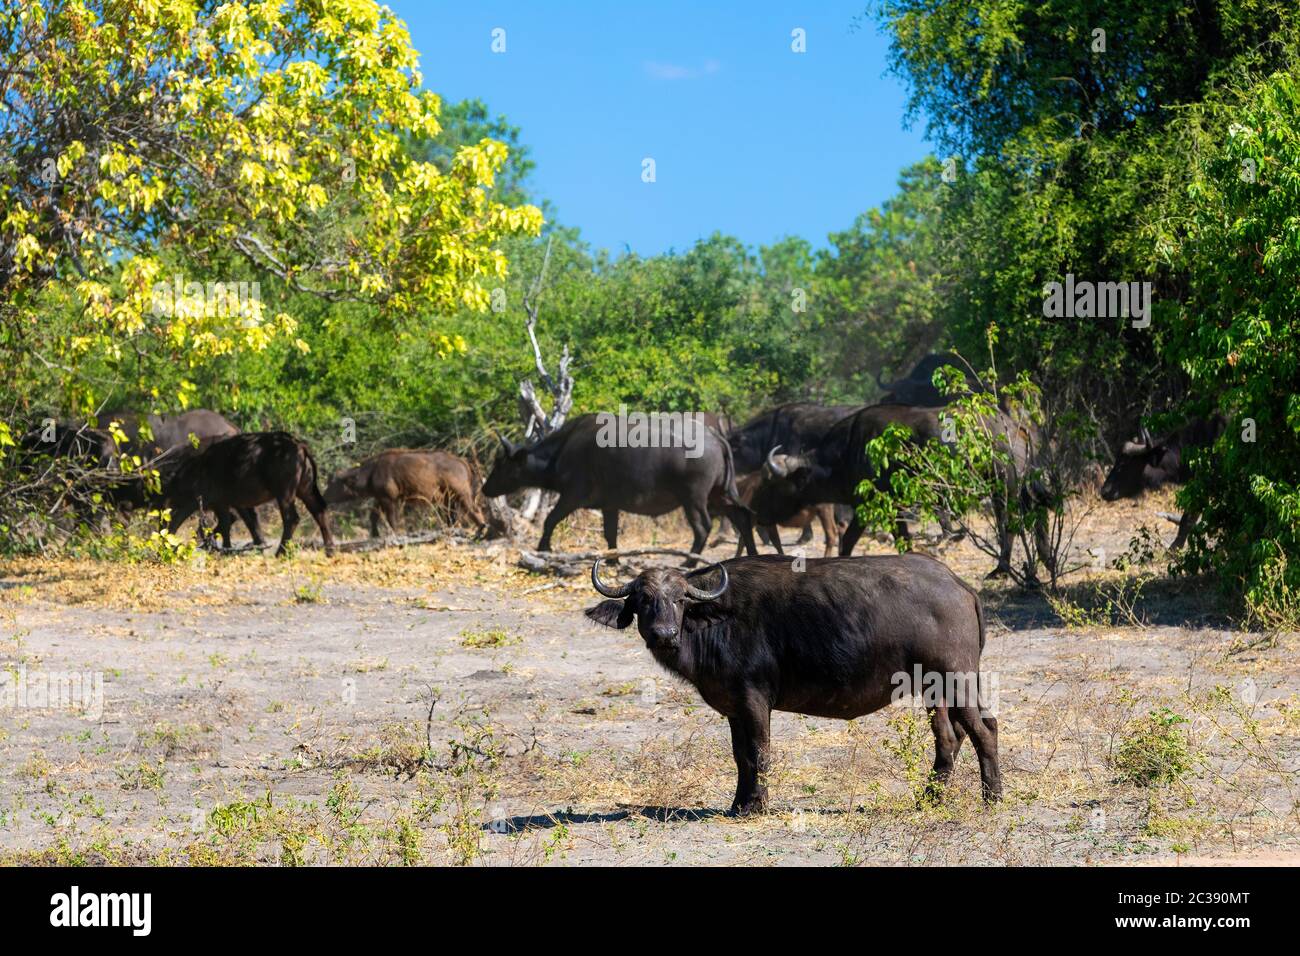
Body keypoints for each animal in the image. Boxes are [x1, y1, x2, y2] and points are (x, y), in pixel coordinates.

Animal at [164, 432, 335, 556]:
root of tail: (300, 447)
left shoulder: (209, 501)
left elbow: (222, 524)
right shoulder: (236, 503)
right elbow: (249, 523)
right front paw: (258, 545)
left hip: (284, 493)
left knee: (291, 518)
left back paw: (281, 553)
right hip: (306, 490)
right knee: (320, 510)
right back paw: (330, 550)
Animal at [325, 448, 486, 537]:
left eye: (333, 483)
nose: (324, 497)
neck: (372, 471)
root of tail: (463, 462)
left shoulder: (390, 500)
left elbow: (392, 519)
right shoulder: (380, 498)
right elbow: (373, 516)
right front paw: (375, 534)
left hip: (462, 495)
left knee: (474, 510)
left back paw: (481, 528)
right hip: (449, 499)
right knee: (452, 517)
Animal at [482, 413, 757, 563]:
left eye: (500, 463)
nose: (485, 489)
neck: (562, 451)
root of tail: (715, 436)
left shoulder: (572, 496)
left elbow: (550, 520)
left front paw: (543, 549)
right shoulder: (609, 505)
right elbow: (610, 534)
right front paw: (613, 561)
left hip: (694, 499)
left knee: (703, 528)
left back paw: (688, 563)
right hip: (720, 494)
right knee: (743, 517)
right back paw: (751, 554)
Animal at [586, 554, 1001, 814]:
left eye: (679, 599)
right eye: (643, 599)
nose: (664, 635)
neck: (716, 621)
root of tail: (958, 585)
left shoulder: (754, 701)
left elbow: (759, 752)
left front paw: (756, 806)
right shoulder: (735, 709)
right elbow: (740, 756)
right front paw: (739, 803)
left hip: (956, 678)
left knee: (984, 729)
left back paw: (992, 798)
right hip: (934, 687)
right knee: (950, 736)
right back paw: (929, 799)